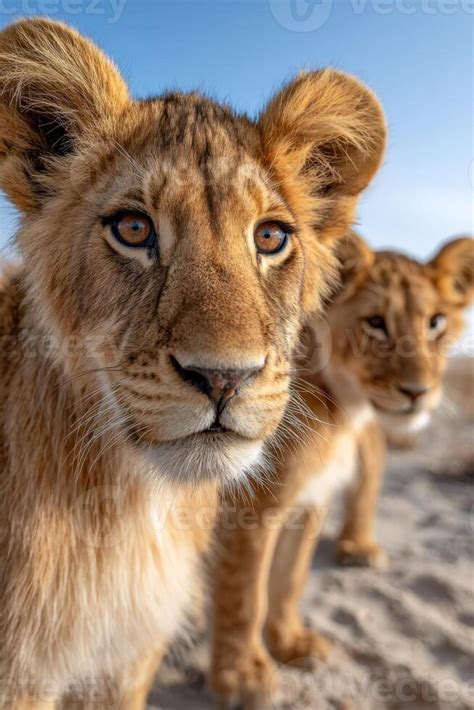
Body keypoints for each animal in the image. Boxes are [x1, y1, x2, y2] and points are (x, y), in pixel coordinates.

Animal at [210, 232, 473, 709]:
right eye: (375, 323)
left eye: (436, 323)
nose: (418, 392)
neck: (339, 407)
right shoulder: (249, 507)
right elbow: (245, 593)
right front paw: (241, 677)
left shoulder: (310, 499)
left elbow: (289, 578)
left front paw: (289, 643)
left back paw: (359, 548)